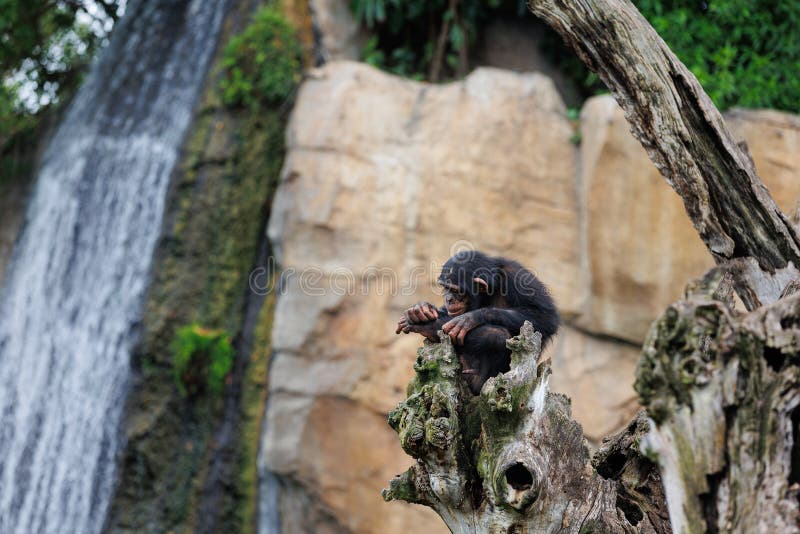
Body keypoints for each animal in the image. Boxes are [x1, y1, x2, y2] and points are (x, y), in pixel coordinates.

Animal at [396, 250, 559, 394]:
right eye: (445, 287)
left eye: (456, 290)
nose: (449, 299)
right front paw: (421, 309)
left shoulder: (518, 276)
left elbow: (545, 317)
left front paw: (471, 318)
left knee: (496, 335)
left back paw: (430, 327)